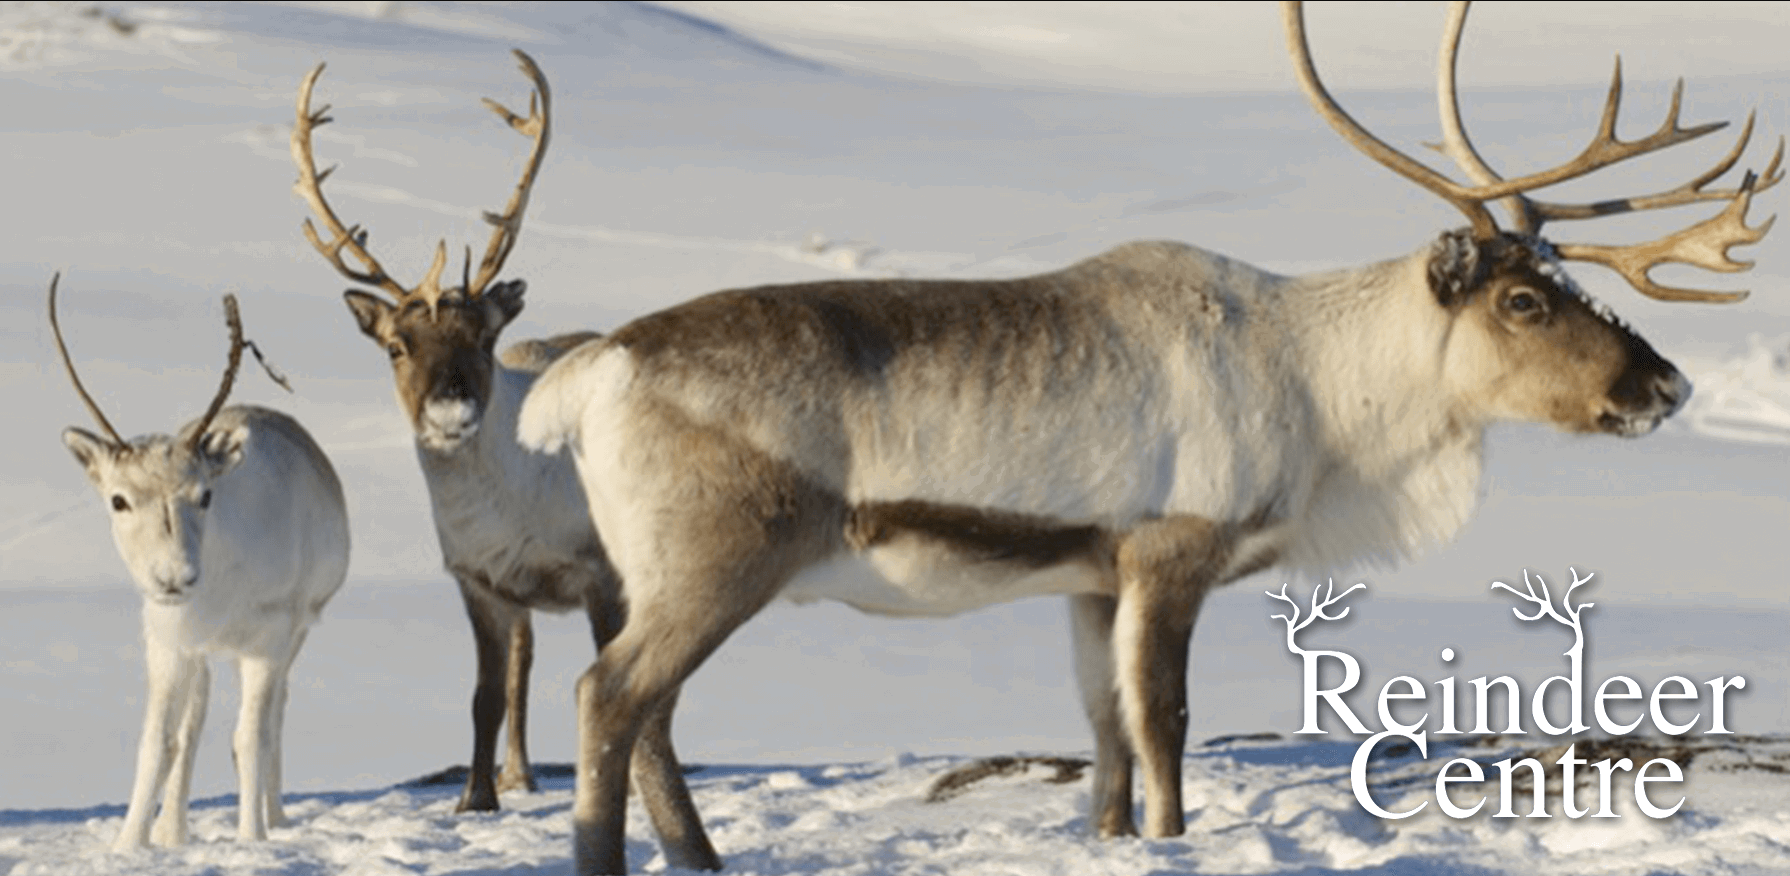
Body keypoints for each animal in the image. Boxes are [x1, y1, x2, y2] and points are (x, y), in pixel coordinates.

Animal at [51, 277, 350, 850]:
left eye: (205, 494)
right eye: (118, 500)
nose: (175, 578)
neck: (218, 587)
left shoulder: (270, 638)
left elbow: (250, 738)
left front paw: (252, 839)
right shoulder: (166, 638)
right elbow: (157, 741)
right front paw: (130, 844)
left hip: (297, 631)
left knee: (275, 713)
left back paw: (275, 818)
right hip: (203, 653)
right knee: (194, 725)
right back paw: (172, 832)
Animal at [289, 49, 618, 813]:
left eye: (484, 338)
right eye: (395, 346)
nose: (449, 410)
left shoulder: (598, 573)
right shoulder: (478, 579)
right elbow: (484, 696)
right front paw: (475, 799)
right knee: (524, 665)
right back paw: (519, 774)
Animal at [518, 1, 1781, 870]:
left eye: (1565, 281)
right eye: (1521, 300)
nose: (1661, 384)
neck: (1325, 395)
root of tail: (585, 372)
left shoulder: (1090, 574)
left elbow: (1104, 741)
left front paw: (1114, 838)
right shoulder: (1173, 550)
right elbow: (1165, 726)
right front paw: (1173, 836)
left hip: (658, 575)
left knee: (651, 718)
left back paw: (701, 859)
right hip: (717, 560)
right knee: (611, 700)